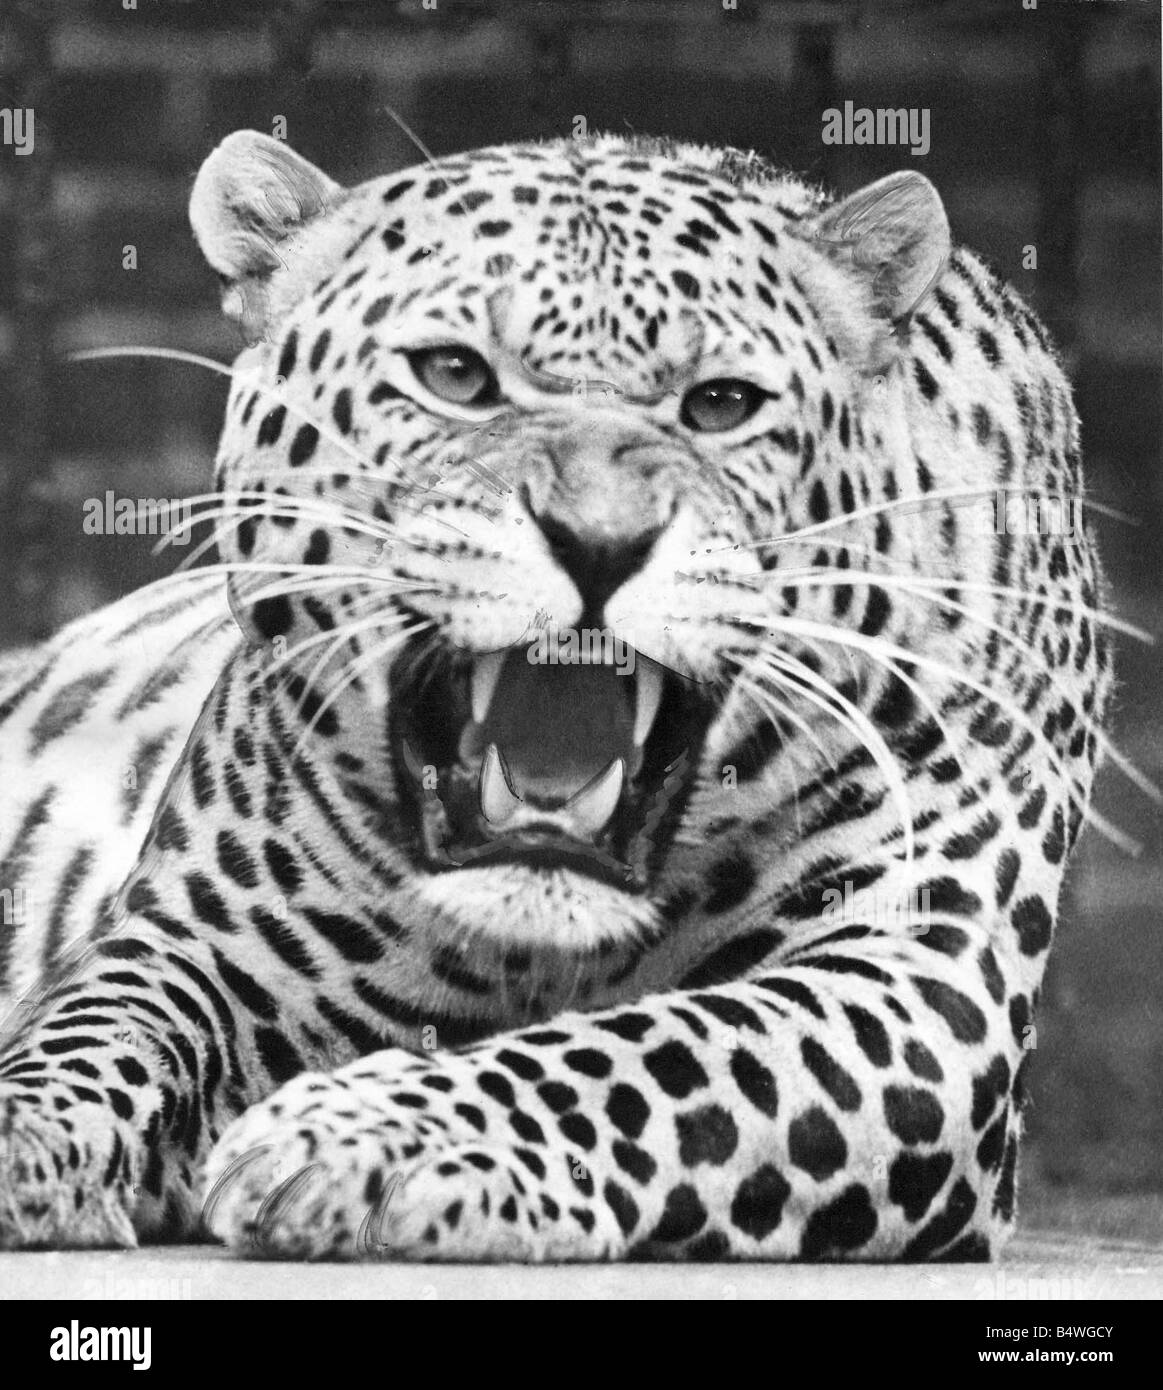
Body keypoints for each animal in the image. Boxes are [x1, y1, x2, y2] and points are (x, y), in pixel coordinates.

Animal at [0, 129, 1118, 1261]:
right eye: (455, 375)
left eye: (720, 404)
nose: (599, 540)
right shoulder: (201, 943)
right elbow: (96, 1027)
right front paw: (23, 1129)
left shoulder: (915, 984)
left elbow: (650, 1054)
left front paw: (370, 1137)